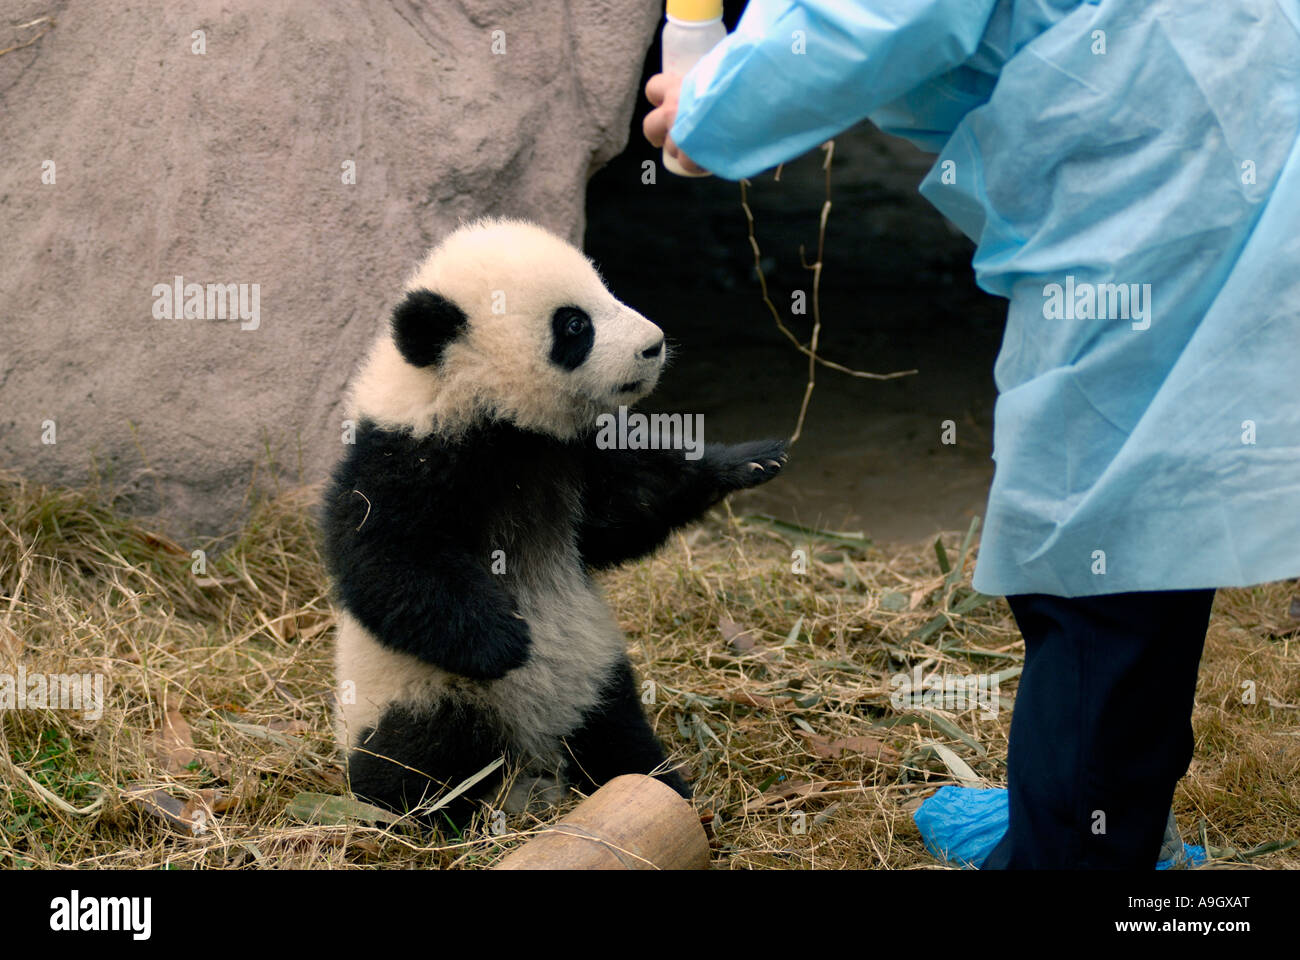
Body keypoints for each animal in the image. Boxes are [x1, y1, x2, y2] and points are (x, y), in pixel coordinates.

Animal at [322, 217, 786, 829]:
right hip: (420, 693)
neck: (497, 419)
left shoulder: (573, 460)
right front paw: (505, 639)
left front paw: (746, 462)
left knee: (615, 734)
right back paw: (432, 815)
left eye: (606, 290)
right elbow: (385, 559)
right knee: (419, 756)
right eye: (574, 324)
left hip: (593, 679)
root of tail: (531, 761)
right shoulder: (405, 455)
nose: (654, 344)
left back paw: (662, 787)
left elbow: (625, 513)